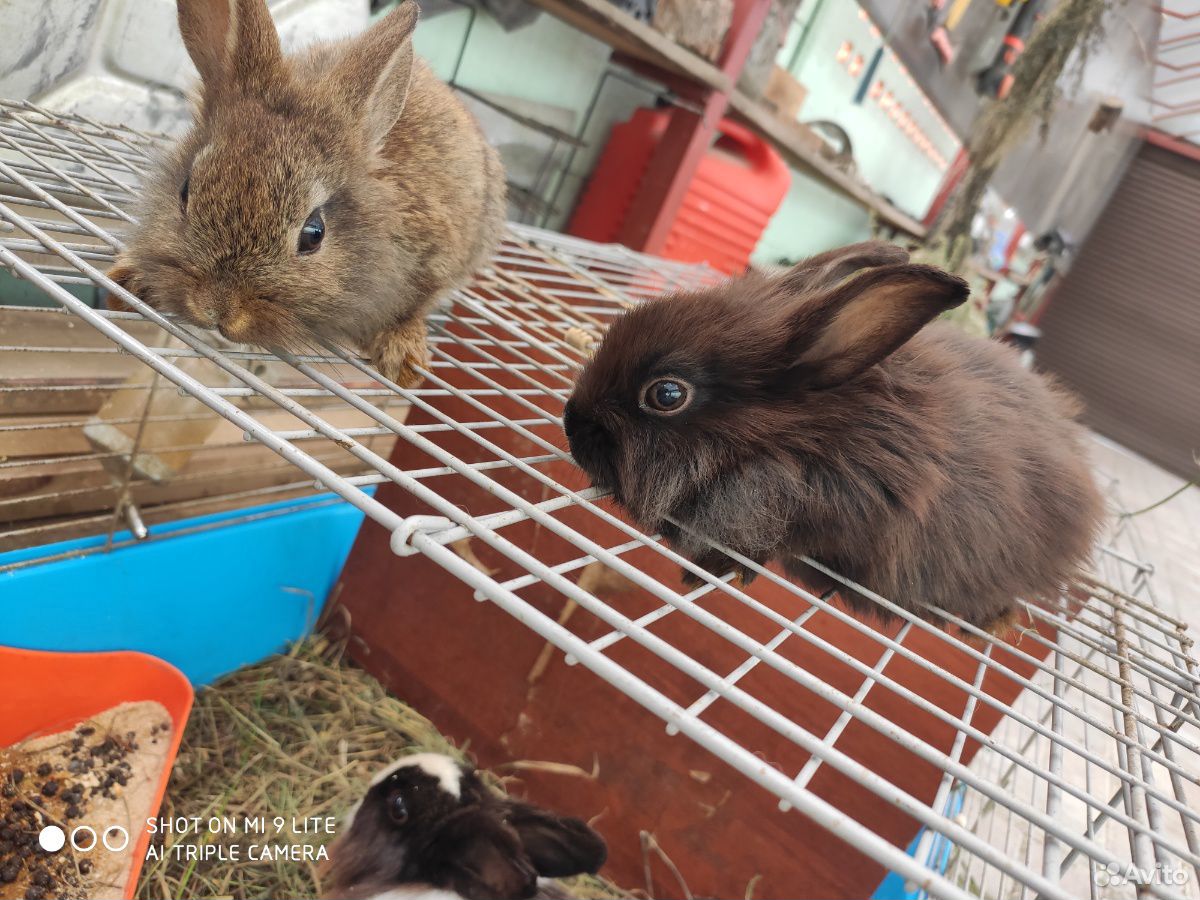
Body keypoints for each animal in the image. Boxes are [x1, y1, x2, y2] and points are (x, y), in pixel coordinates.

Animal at [106, 0, 506, 387]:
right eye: (185, 191)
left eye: (314, 234)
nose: (217, 308)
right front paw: (128, 278)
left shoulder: (435, 260)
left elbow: (411, 308)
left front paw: (402, 358)